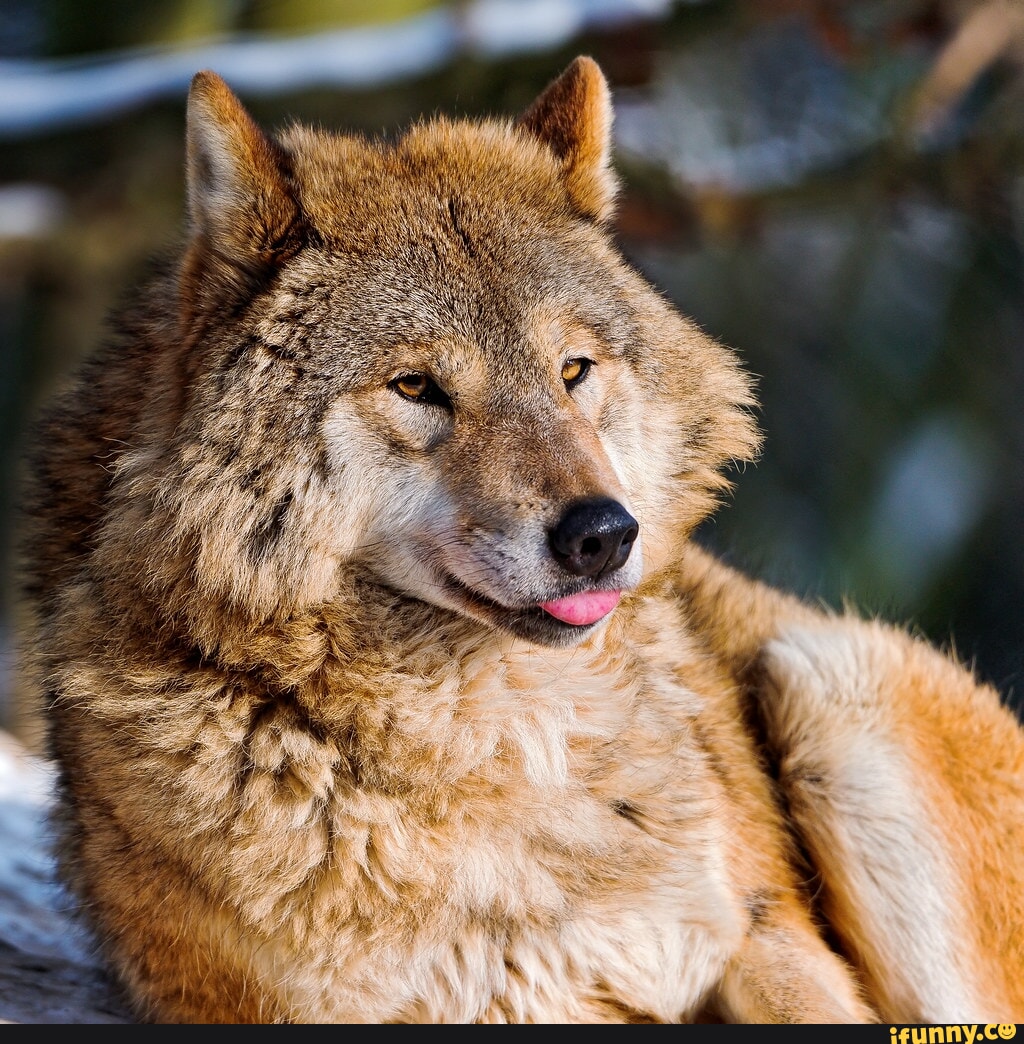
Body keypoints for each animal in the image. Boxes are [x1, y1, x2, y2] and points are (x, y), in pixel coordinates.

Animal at [15, 56, 1024, 1023]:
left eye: (571, 369)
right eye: (417, 387)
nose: (604, 534)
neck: (501, 742)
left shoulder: (756, 938)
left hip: (823, 678)